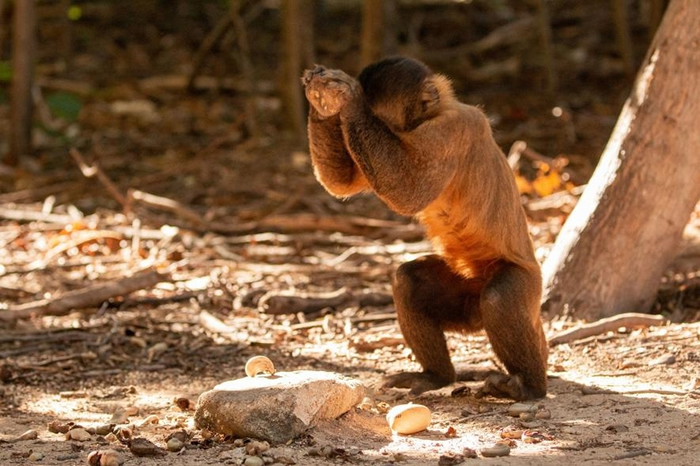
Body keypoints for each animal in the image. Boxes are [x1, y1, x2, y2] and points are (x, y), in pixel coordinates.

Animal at [300, 57, 548, 400]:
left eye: (379, 122)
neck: (433, 115)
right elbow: (342, 182)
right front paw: (322, 101)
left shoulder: (456, 128)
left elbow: (409, 192)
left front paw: (347, 99)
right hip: (466, 299)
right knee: (407, 281)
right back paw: (436, 377)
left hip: (527, 284)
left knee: (499, 299)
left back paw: (529, 385)